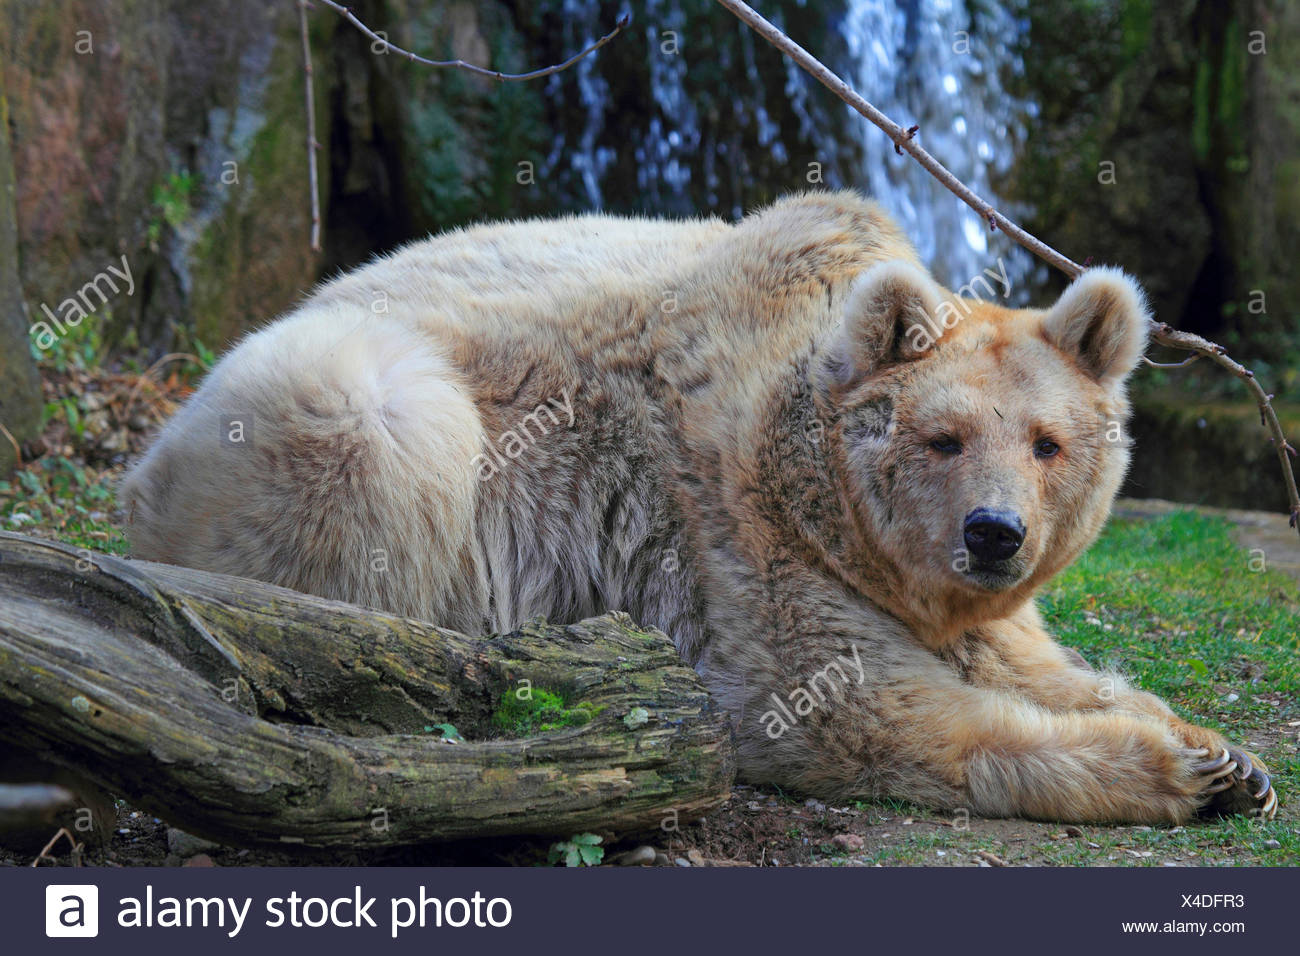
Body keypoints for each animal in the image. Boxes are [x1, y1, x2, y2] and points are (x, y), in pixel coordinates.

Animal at [120, 191, 1276, 824]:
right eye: (942, 437)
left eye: (1046, 441)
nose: (994, 534)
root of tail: (144, 459)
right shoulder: (740, 537)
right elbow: (862, 709)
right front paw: (1183, 769)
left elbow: (1031, 661)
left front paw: (1229, 752)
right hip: (331, 415)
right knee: (375, 424)